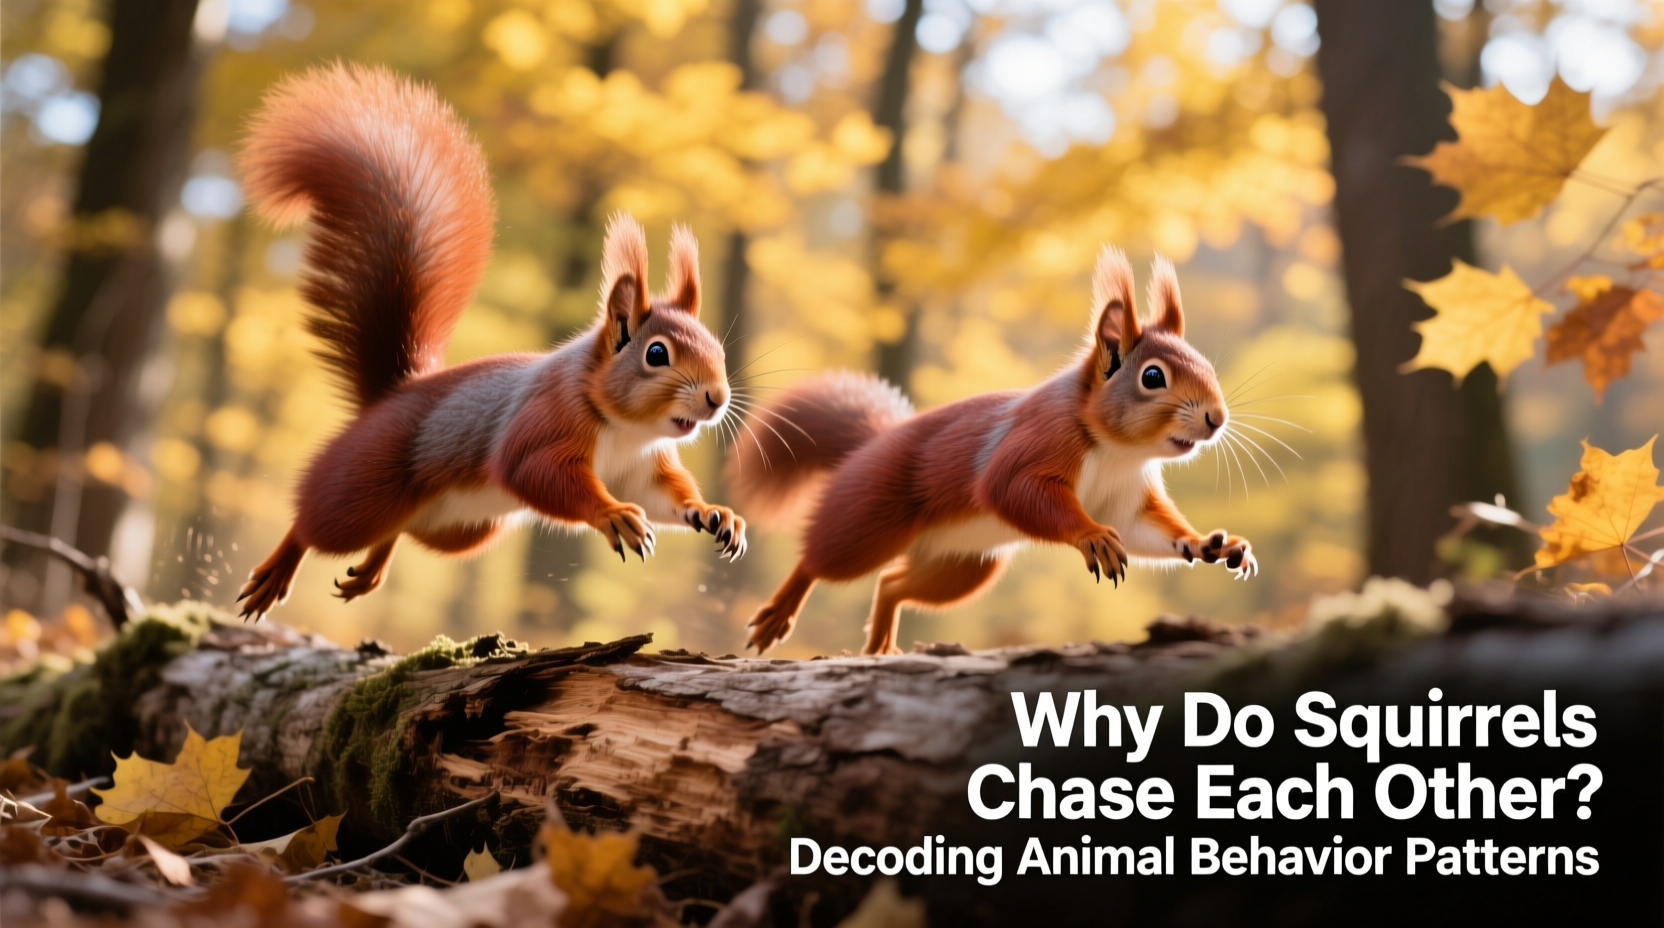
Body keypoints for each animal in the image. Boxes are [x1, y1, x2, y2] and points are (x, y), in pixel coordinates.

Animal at [234, 63, 745, 620]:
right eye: (656, 354)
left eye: (717, 349)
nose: (717, 398)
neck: (625, 430)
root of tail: (391, 396)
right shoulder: (544, 420)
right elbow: (535, 472)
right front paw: (612, 514)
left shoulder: (643, 468)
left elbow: (666, 496)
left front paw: (714, 514)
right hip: (364, 487)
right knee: (316, 522)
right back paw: (278, 570)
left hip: (462, 529)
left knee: (400, 531)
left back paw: (368, 571)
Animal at [725, 247, 1254, 655]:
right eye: (1152, 376)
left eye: (1205, 364)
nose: (1217, 417)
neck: (1117, 452)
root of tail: (870, 444)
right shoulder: (1036, 443)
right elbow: (1012, 488)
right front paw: (1091, 536)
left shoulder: (1126, 499)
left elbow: (1149, 530)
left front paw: (1208, 544)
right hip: (868, 520)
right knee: (820, 560)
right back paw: (779, 614)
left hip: (963, 564)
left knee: (891, 584)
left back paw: (878, 646)